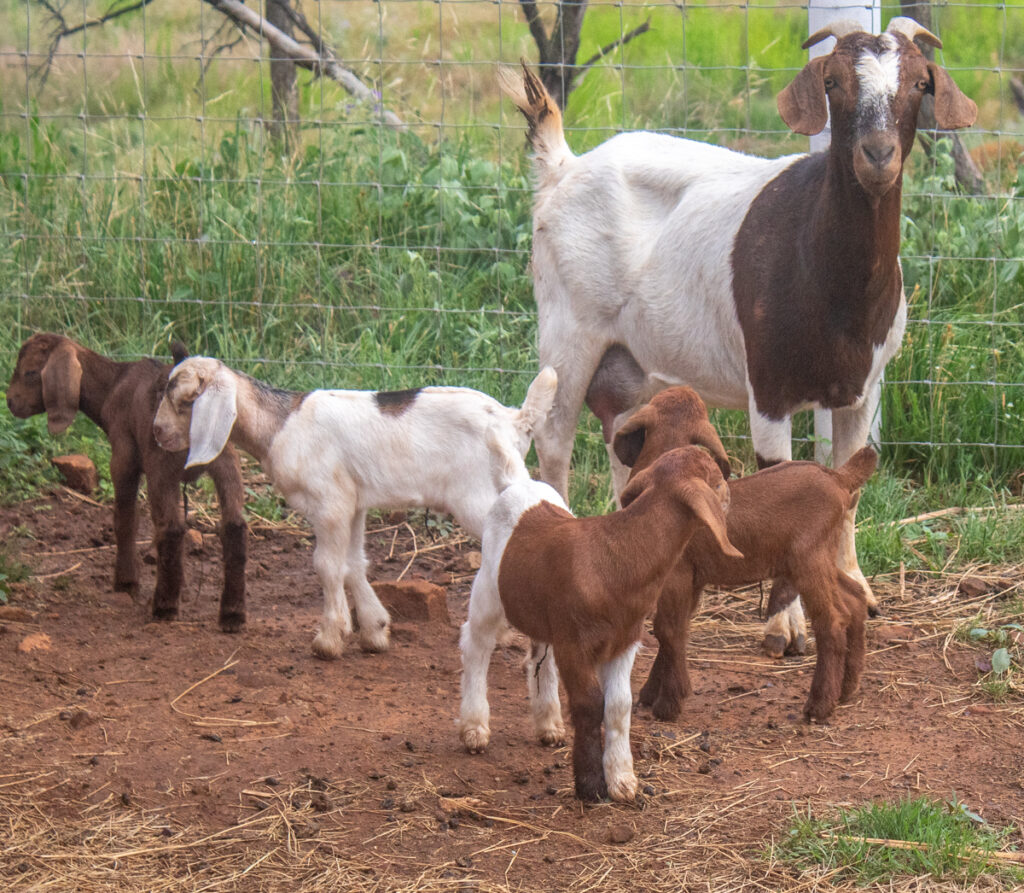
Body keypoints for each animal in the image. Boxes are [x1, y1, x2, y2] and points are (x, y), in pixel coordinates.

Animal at [6, 333, 247, 631]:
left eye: (30, 373)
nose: (10, 402)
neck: (113, 384)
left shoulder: (123, 456)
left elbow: (125, 519)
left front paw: (126, 583)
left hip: (162, 461)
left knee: (171, 528)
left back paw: (164, 606)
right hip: (227, 457)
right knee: (234, 526)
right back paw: (233, 614)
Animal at [152, 357, 557, 660]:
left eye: (184, 399)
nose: (157, 433)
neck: (280, 424)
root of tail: (514, 419)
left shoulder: (329, 502)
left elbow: (327, 565)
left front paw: (329, 640)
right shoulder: (353, 503)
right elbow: (353, 563)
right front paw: (375, 630)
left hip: (482, 496)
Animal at [458, 445, 742, 802]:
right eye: (718, 481)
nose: (731, 499)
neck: (614, 558)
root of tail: (519, 484)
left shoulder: (624, 640)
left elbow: (619, 705)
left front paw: (622, 779)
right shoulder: (575, 644)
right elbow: (589, 703)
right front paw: (590, 785)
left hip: (544, 611)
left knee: (538, 656)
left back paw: (549, 725)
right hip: (489, 589)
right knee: (476, 645)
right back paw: (474, 728)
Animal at [498, 17, 976, 655]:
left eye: (922, 82)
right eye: (832, 81)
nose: (878, 155)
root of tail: (564, 166)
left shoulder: (863, 387)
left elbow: (849, 484)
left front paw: (856, 587)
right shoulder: (769, 387)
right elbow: (782, 483)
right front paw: (785, 626)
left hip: (629, 365)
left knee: (622, 444)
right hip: (569, 329)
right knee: (554, 442)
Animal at [613, 387, 878, 723]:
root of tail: (838, 479)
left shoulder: (678, 575)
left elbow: (667, 630)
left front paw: (668, 703)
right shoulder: (695, 579)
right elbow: (677, 629)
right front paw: (651, 693)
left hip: (809, 560)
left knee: (831, 619)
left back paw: (820, 705)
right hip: (819, 557)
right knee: (854, 598)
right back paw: (847, 688)